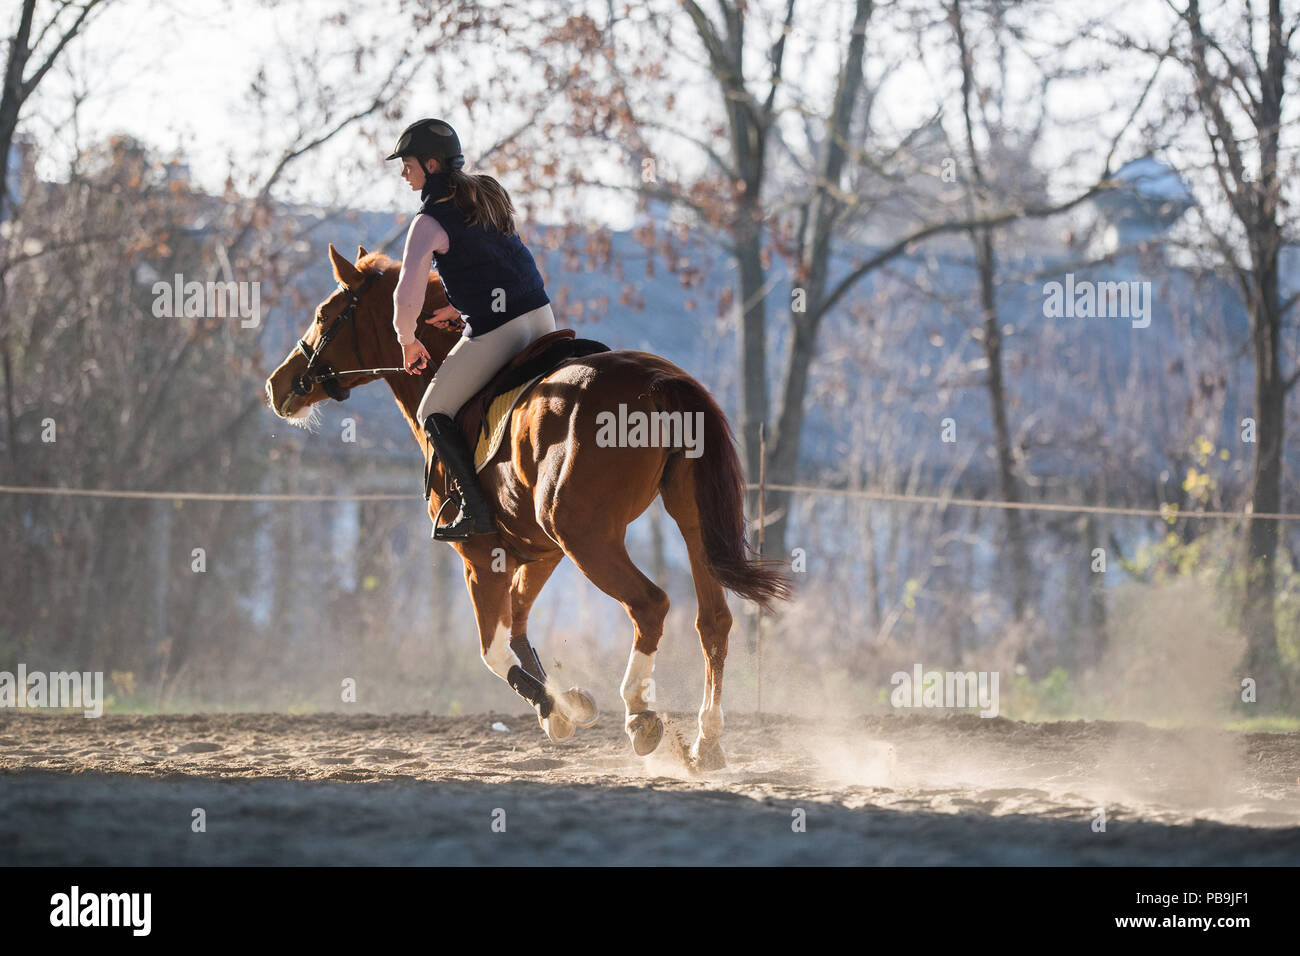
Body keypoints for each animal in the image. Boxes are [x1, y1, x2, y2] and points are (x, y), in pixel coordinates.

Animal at [265, 244, 791, 769]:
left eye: (323, 315)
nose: (277, 385)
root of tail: (658, 380)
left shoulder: (480, 559)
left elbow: (493, 650)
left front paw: (556, 711)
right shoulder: (538, 553)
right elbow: (518, 631)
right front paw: (565, 704)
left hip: (585, 537)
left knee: (649, 604)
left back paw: (639, 714)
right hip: (686, 518)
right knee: (713, 621)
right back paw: (707, 742)